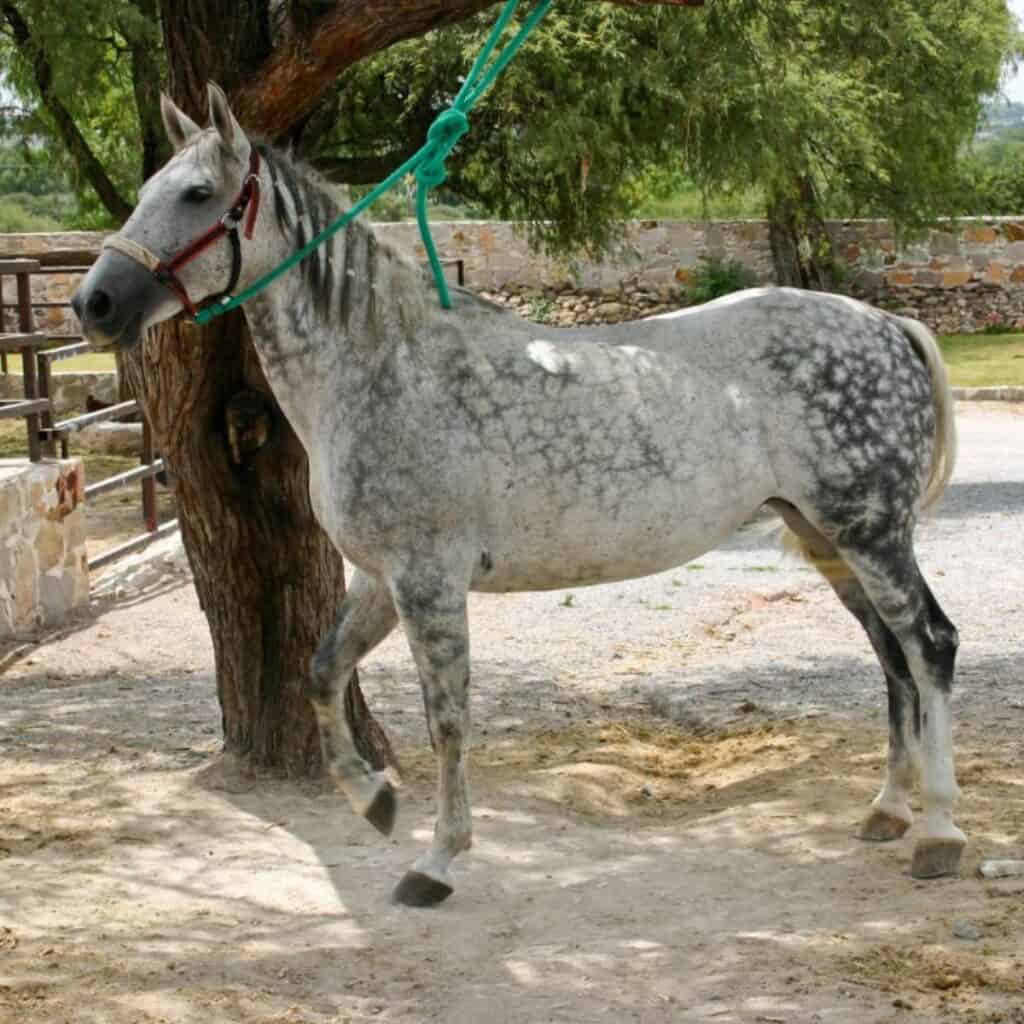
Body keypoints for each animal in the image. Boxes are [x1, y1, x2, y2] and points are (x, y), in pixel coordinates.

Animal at [72, 84, 963, 907]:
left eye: (197, 194)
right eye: (148, 187)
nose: (94, 302)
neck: (378, 366)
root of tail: (887, 325)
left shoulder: (429, 581)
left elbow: (447, 718)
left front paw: (436, 860)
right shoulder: (381, 579)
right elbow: (322, 674)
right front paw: (374, 802)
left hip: (870, 534)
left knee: (929, 646)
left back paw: (938, 833)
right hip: (826, 539)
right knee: (891, 656)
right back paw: (887, 811)